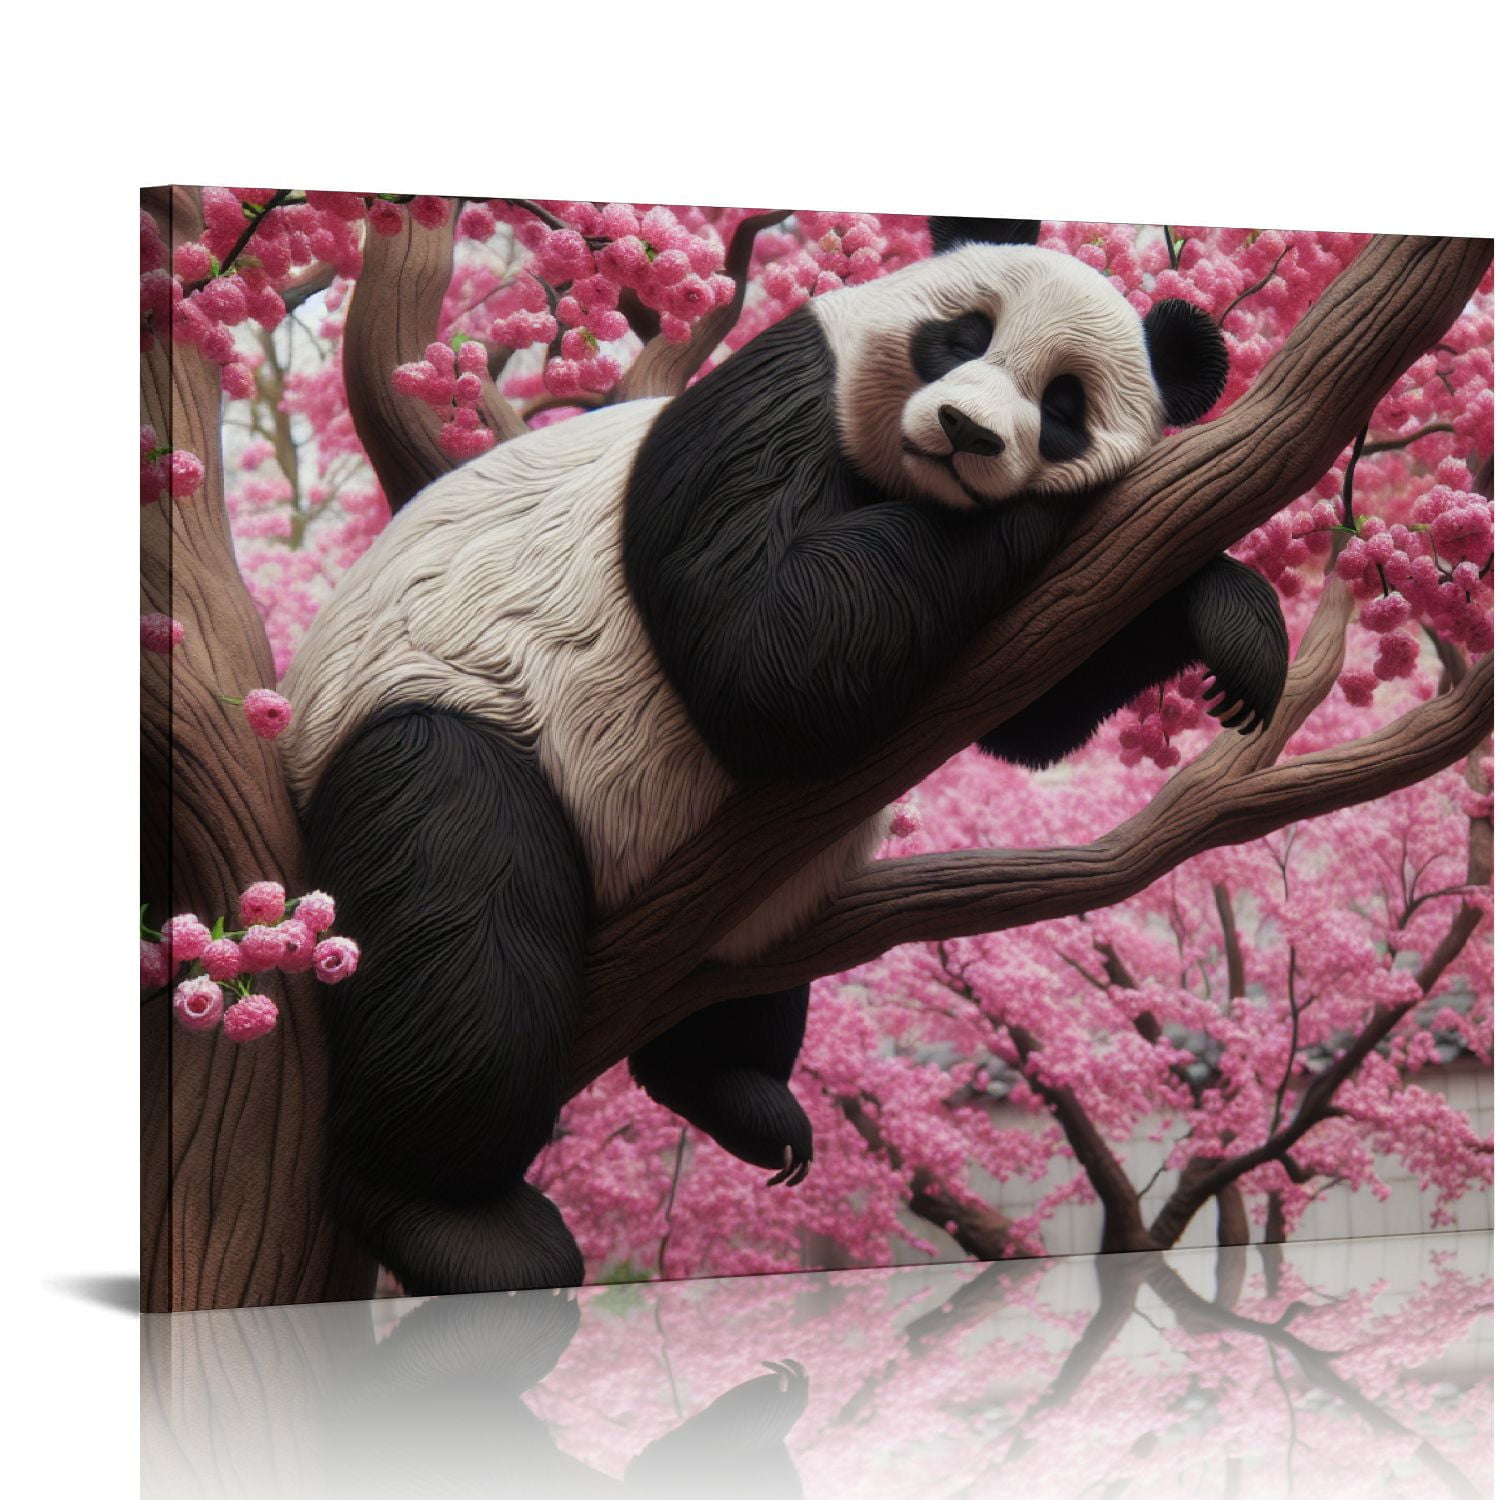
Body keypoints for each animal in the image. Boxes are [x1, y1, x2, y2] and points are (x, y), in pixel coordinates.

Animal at [282, 215, 1288, 1296]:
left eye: (1064, 406)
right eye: (960, 338)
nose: (968, 432)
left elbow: (1033, 714)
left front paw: (1231, 622)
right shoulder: (781, 401)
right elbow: (764, 652)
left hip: (752, 901)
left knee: (735, 982)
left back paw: (732, 1088)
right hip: (432, 721)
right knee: (461, 904)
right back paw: (458, 1220)